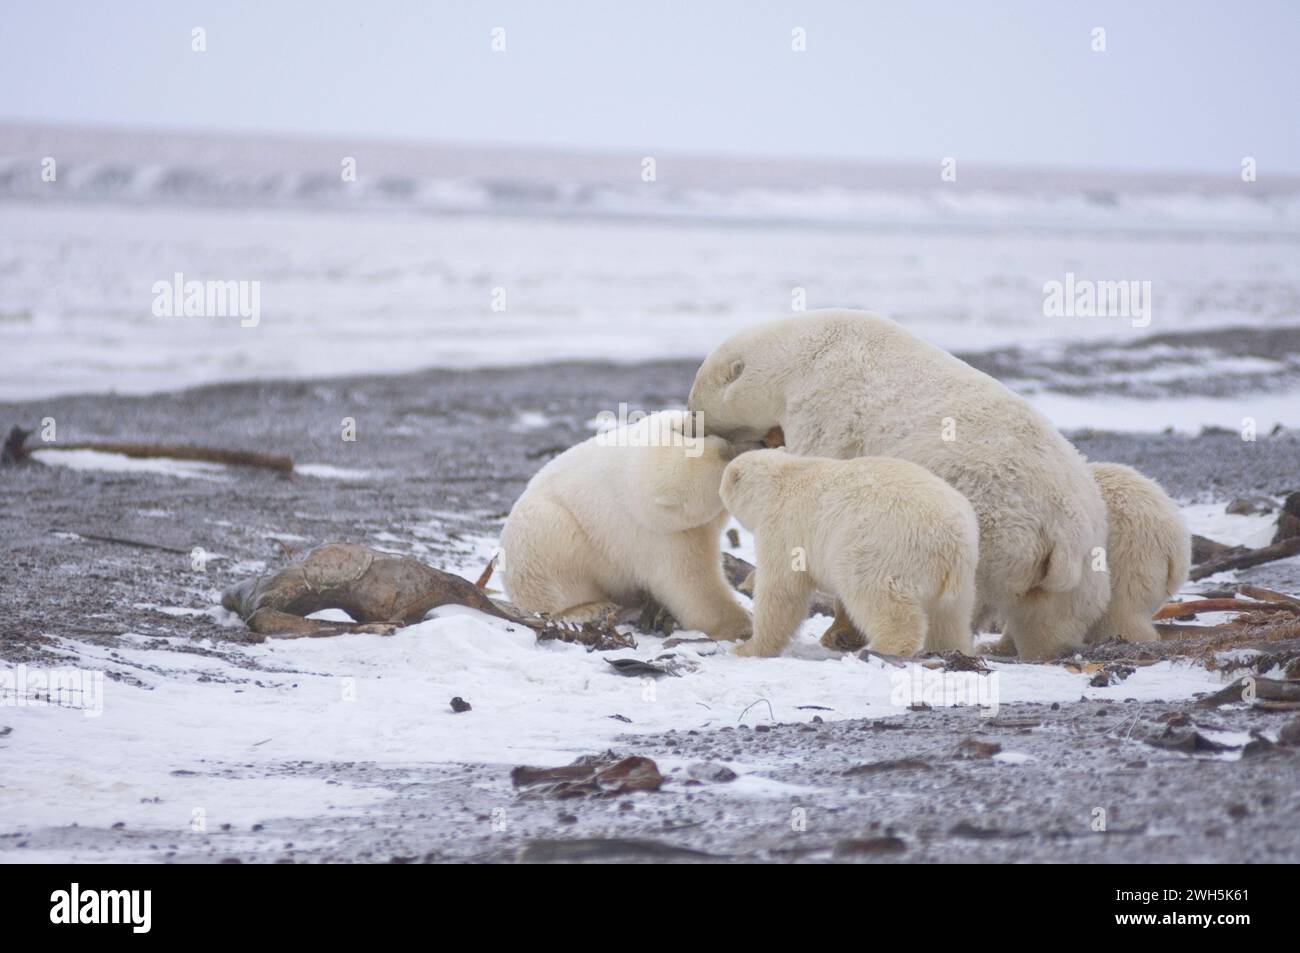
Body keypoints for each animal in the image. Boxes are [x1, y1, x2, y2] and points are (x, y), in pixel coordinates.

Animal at [499, 410, 752, 640]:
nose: (728, 446)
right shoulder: (654, 532)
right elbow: (689, 579)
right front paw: (739, 625)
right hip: (544, 537)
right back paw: (594, 608)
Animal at [719, 449, 979, 658]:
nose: (719, 490)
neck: (784, 477)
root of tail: (951, 539)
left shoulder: (784, 527)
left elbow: (782, 588)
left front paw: (747, 647)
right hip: (963, 574)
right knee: (951, 617)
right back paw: (949, 648)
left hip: (882, 548)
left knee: (878, 597)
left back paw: (884, 648)